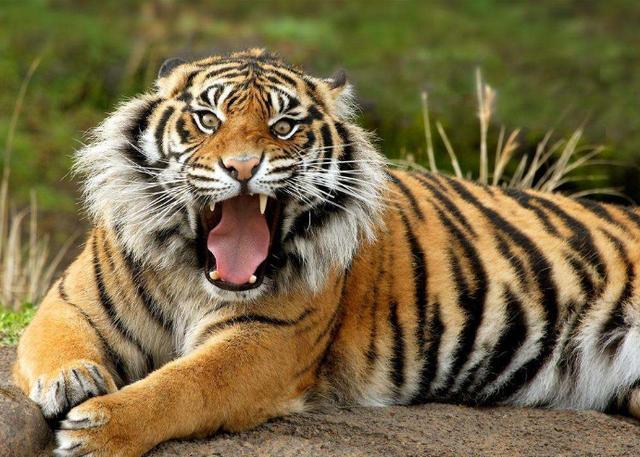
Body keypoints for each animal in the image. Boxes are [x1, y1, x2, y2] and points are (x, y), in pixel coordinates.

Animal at [12, 48, 640, 456]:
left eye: (285, 125)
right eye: (208, 119)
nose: (242, 167)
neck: (194, 275)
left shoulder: (266, 341)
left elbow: (184, 385)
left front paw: (99, 428)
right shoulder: (70, 300)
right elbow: (55, 341)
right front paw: (72, 382)